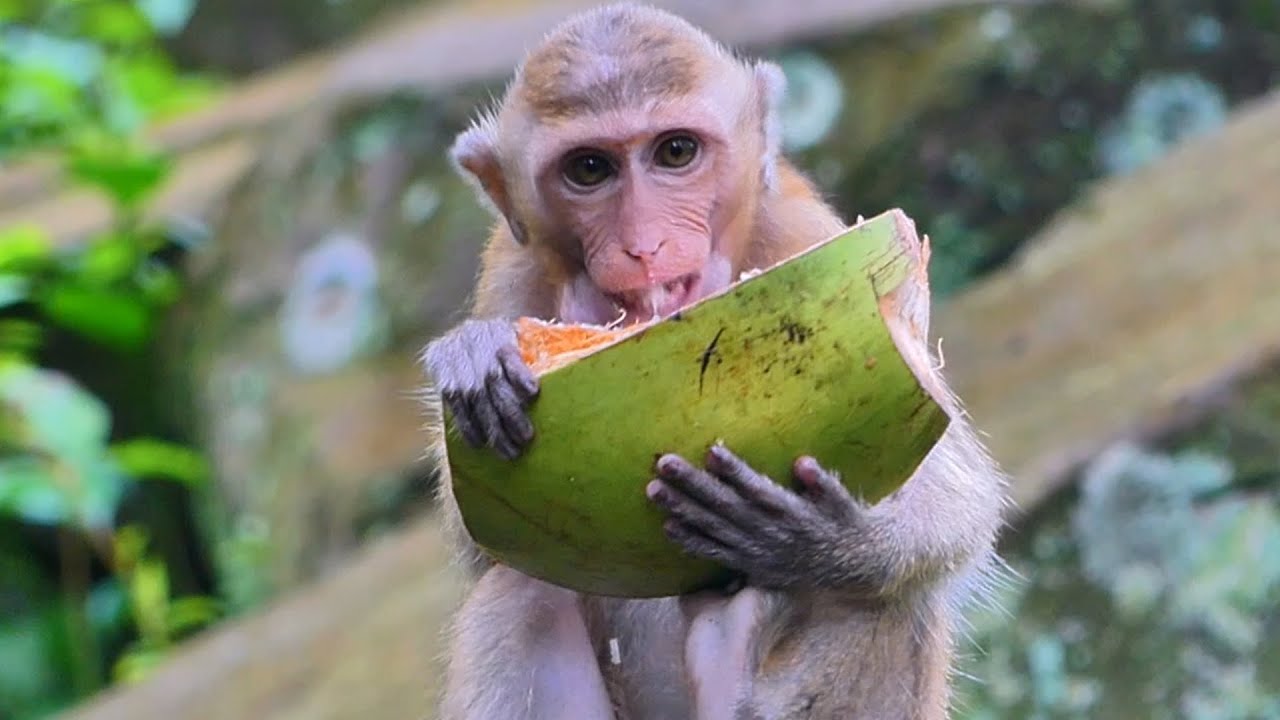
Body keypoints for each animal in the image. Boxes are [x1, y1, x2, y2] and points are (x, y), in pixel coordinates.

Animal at [421, 4, 1010, 719]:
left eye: (676, 152)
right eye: (589, 169)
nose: (644, 247)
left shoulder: (801, 234)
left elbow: (958, 500)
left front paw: (823, 541)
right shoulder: (511, 267)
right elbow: (488, 542)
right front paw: (475, 356)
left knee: (889, 597)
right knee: (520, 592)